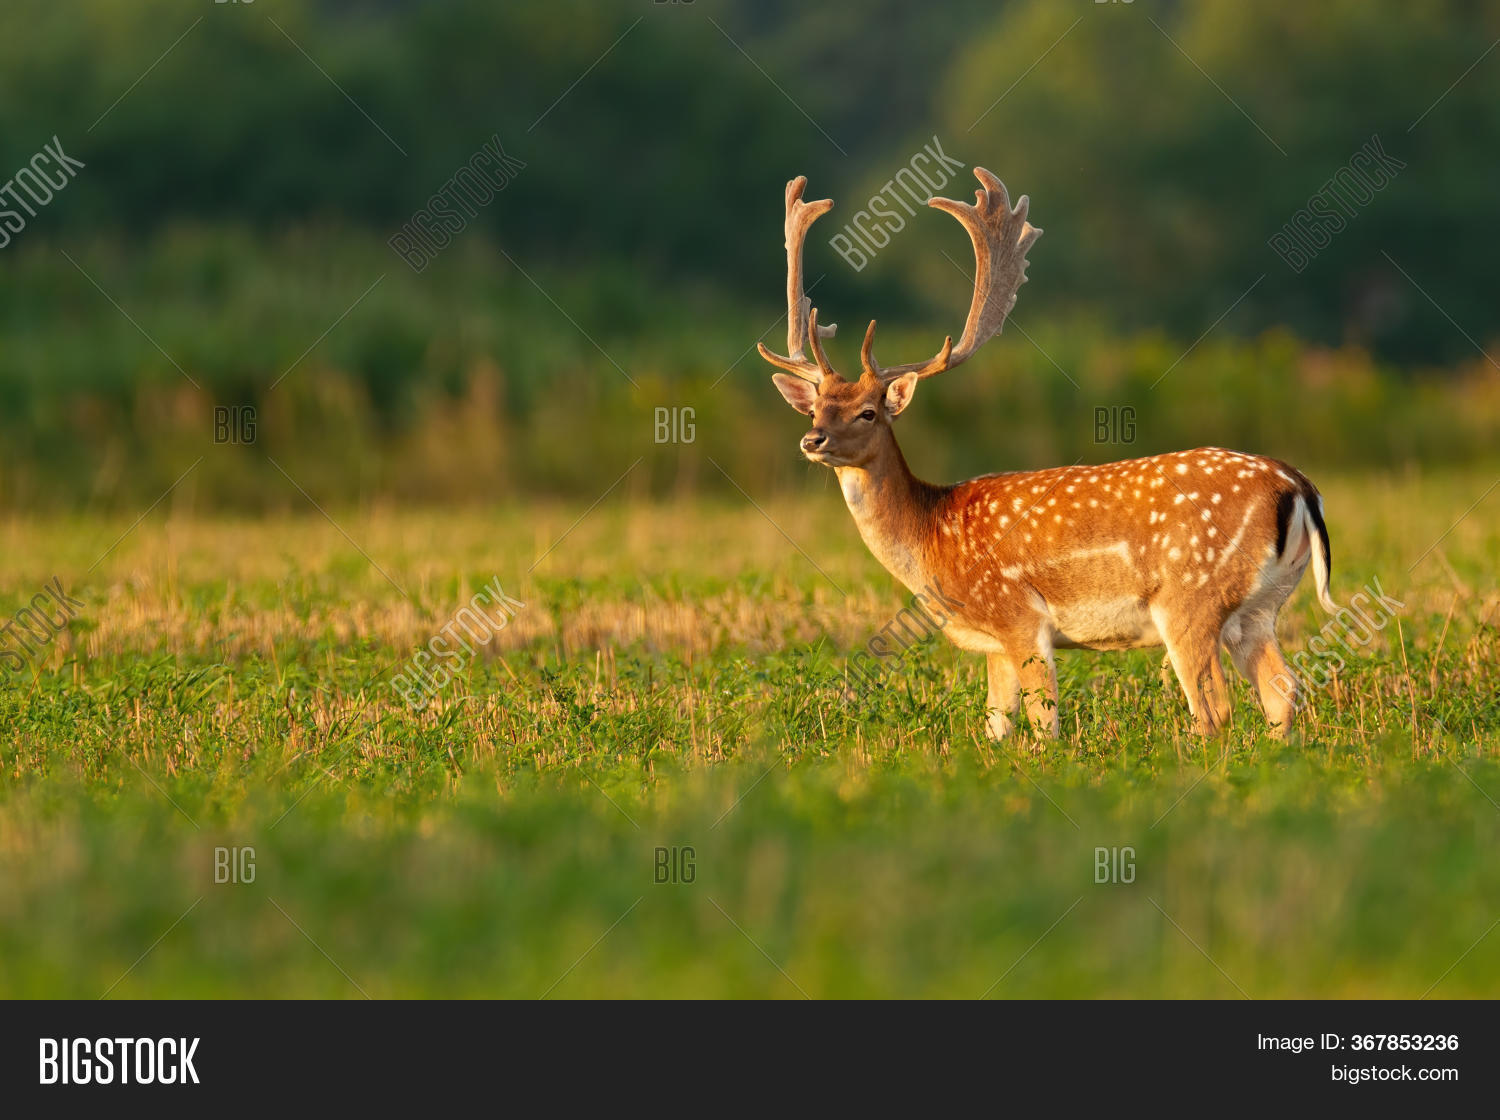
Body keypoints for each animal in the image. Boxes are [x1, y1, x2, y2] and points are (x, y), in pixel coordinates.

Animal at [758, 168, 1336, 741]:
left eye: (868, 413)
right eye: (814, 411)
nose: (813, 441)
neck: (932, 538)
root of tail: (1298, 486)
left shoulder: (1018, 616)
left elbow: (1044, 724)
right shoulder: (993, 644)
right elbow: (995, 725)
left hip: (1190, 595)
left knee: (1214, 706)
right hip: (1260, 606)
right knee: (1283, 688)